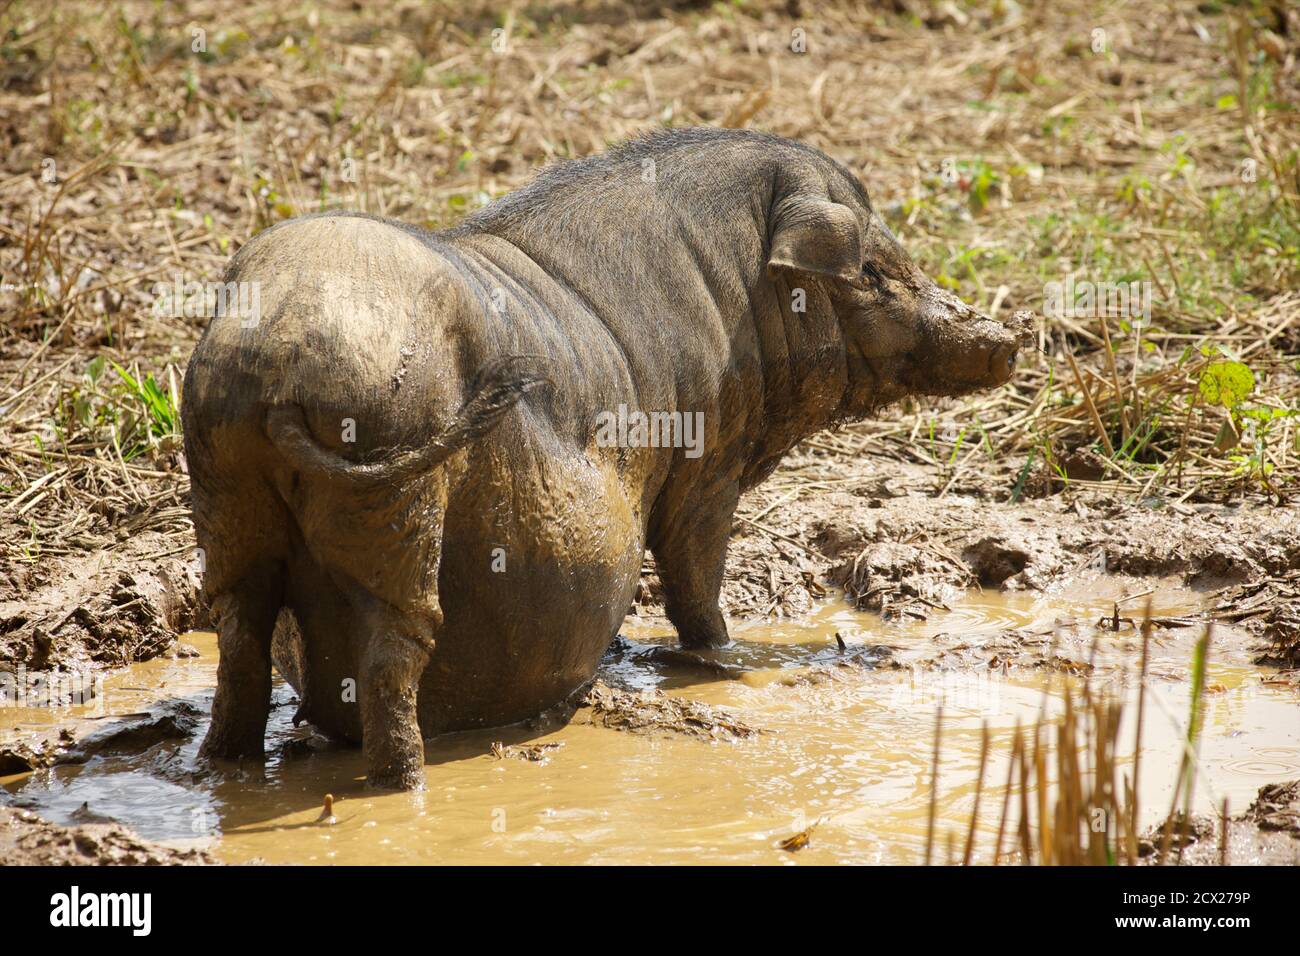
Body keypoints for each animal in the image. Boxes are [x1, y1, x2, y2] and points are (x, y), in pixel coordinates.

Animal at [182, 128, 1027, 789]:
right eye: (874, 273)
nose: (1006, 338)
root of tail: (279, 366)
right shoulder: (706, 452)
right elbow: (692, 563)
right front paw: (728, 659)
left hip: (224, 486)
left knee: (239, 633)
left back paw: (225, 766)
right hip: (397, 485)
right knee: (394, 647)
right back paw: (404, 786)